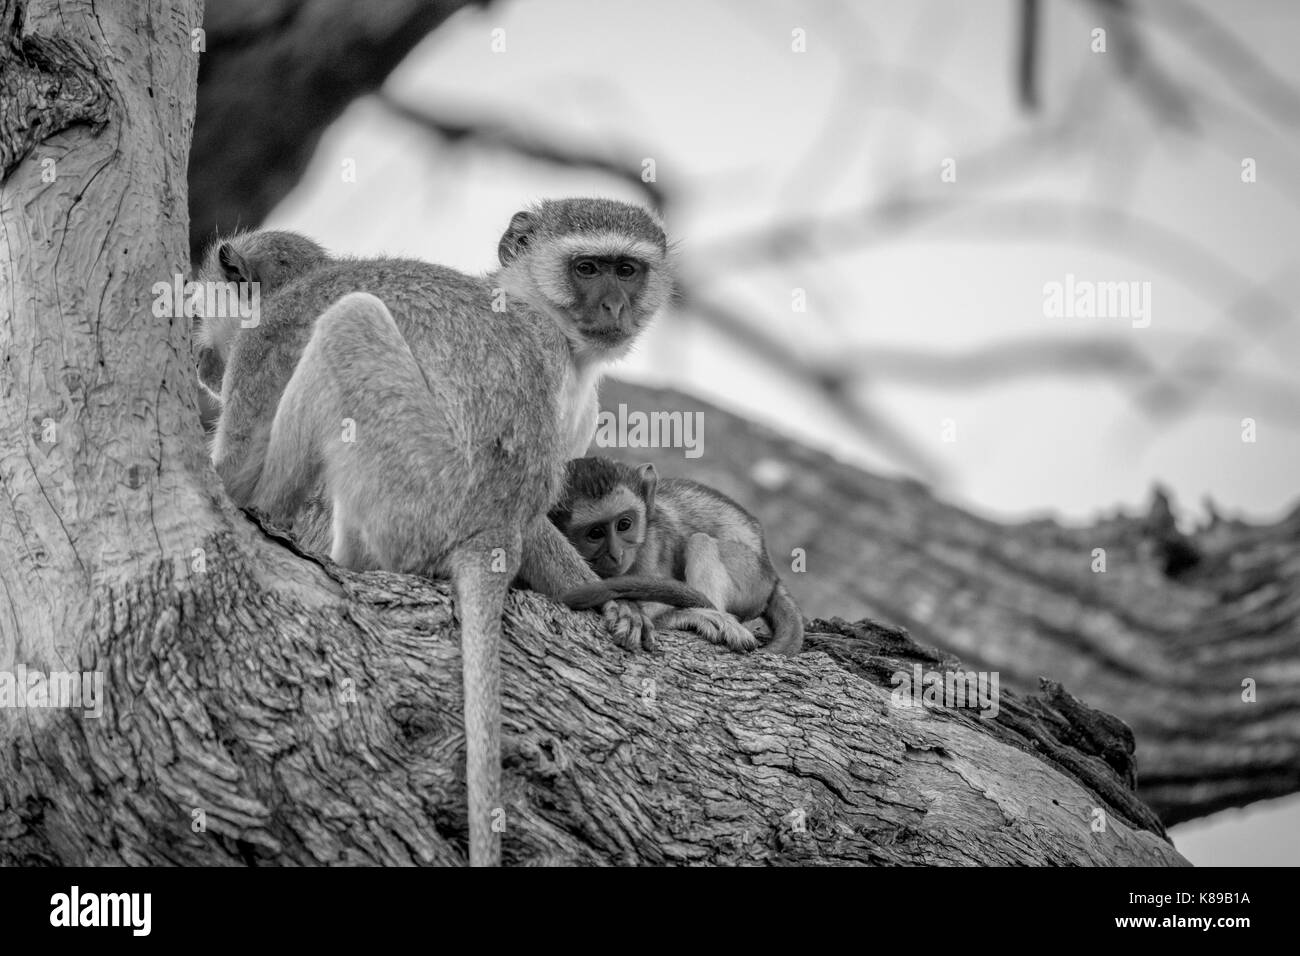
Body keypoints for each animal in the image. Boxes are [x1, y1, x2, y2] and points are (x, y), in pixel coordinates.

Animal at [194, 200, 713, 867]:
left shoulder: (266, 340)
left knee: (350, 324)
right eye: (590, 268)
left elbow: (231, 474)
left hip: (415, 488)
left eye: (625, 271)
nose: (614, 307)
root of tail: (489, 532)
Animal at [551, 457, 805, 657]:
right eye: (595, 533)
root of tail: (772, 576)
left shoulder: (652, 546)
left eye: (624, 525)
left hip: (752, 577)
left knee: (700, 542)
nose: (616, 554)